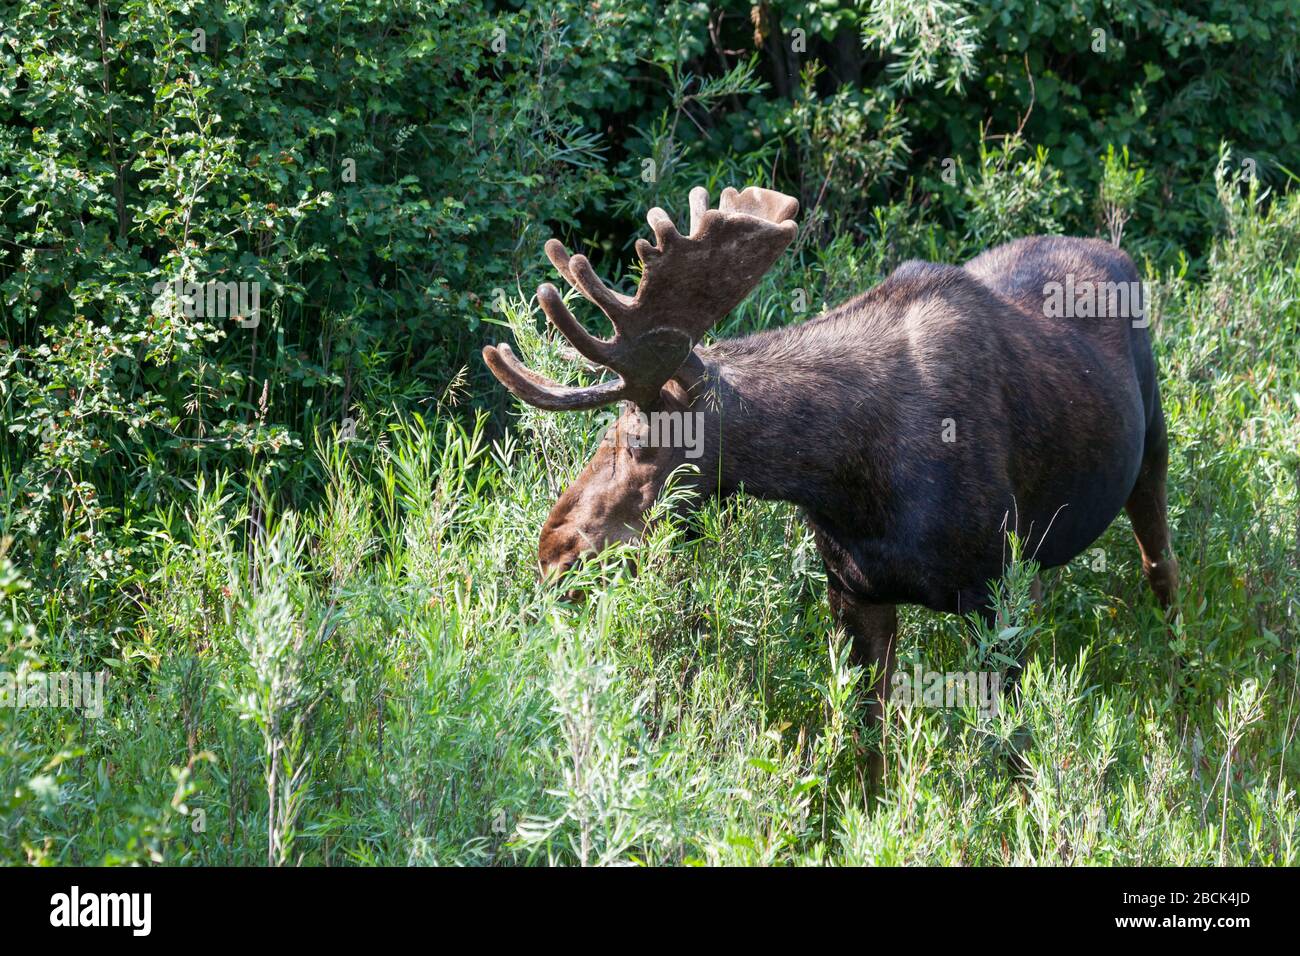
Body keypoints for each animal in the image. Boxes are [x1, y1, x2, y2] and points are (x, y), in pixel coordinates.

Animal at [483, 184, 1177, 752]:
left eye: (636, 439)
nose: (554, 550)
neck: (850, 479)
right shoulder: (852, 592)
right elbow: (867, 749)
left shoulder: (997, 593)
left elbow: (1010, 749)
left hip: (1152, 446)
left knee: (1161, 567)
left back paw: (1181, 669)